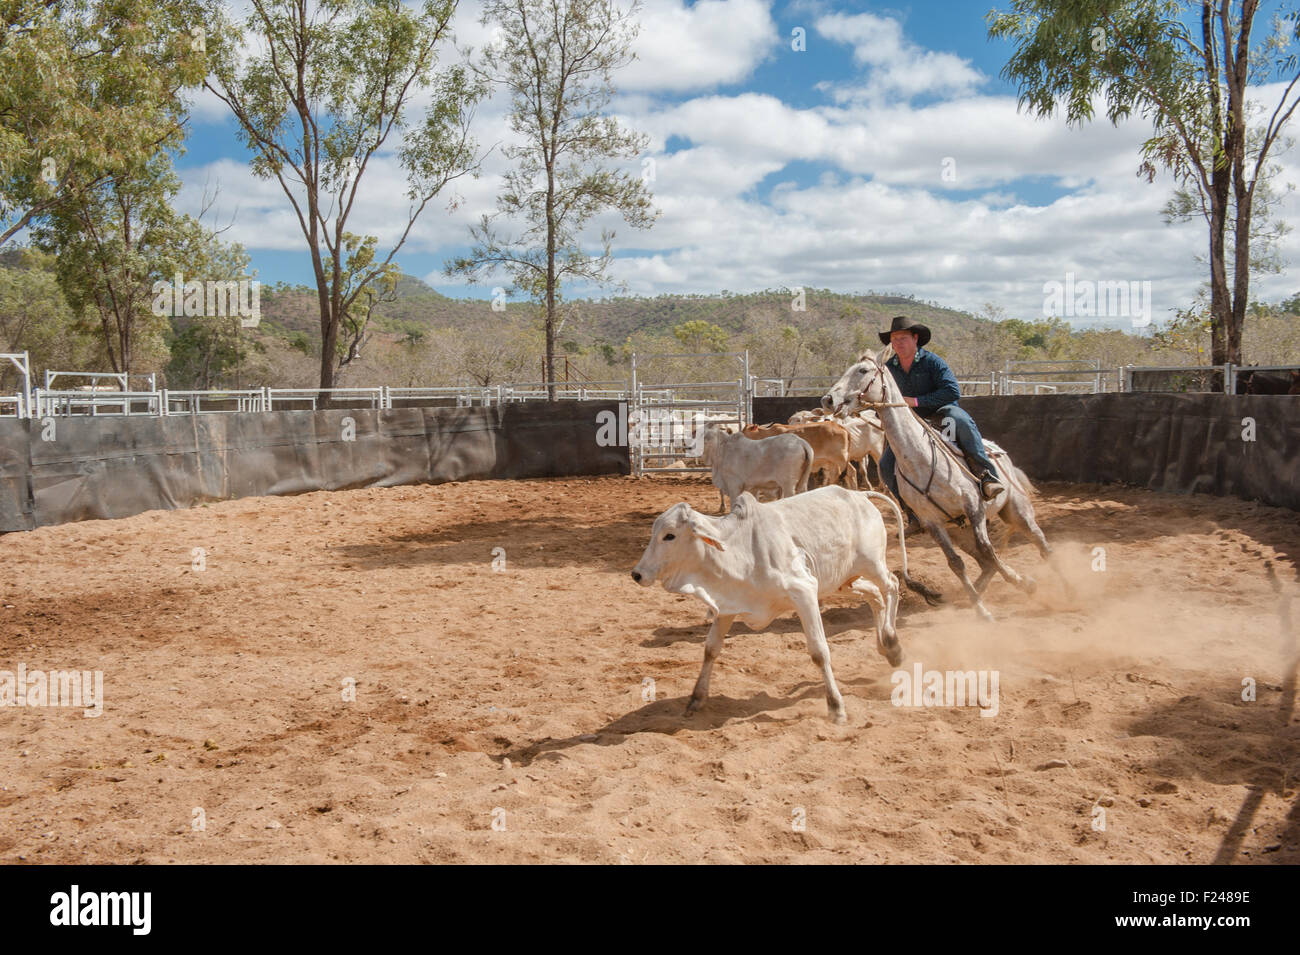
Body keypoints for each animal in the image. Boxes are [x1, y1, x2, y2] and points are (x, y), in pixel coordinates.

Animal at [630, 487, 942, 723]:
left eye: (669, 535)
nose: (637, 573)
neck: (741, 549)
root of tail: (858, 495)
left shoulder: (804, 592)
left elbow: (819, 652)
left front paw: (836, 707)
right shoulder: (728, 607)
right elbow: (711, 650)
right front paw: (696, 699)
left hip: (871, 564)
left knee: (892, 585)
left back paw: (892, 643)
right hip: (843, 582)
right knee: (875, 596)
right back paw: (887, 648)